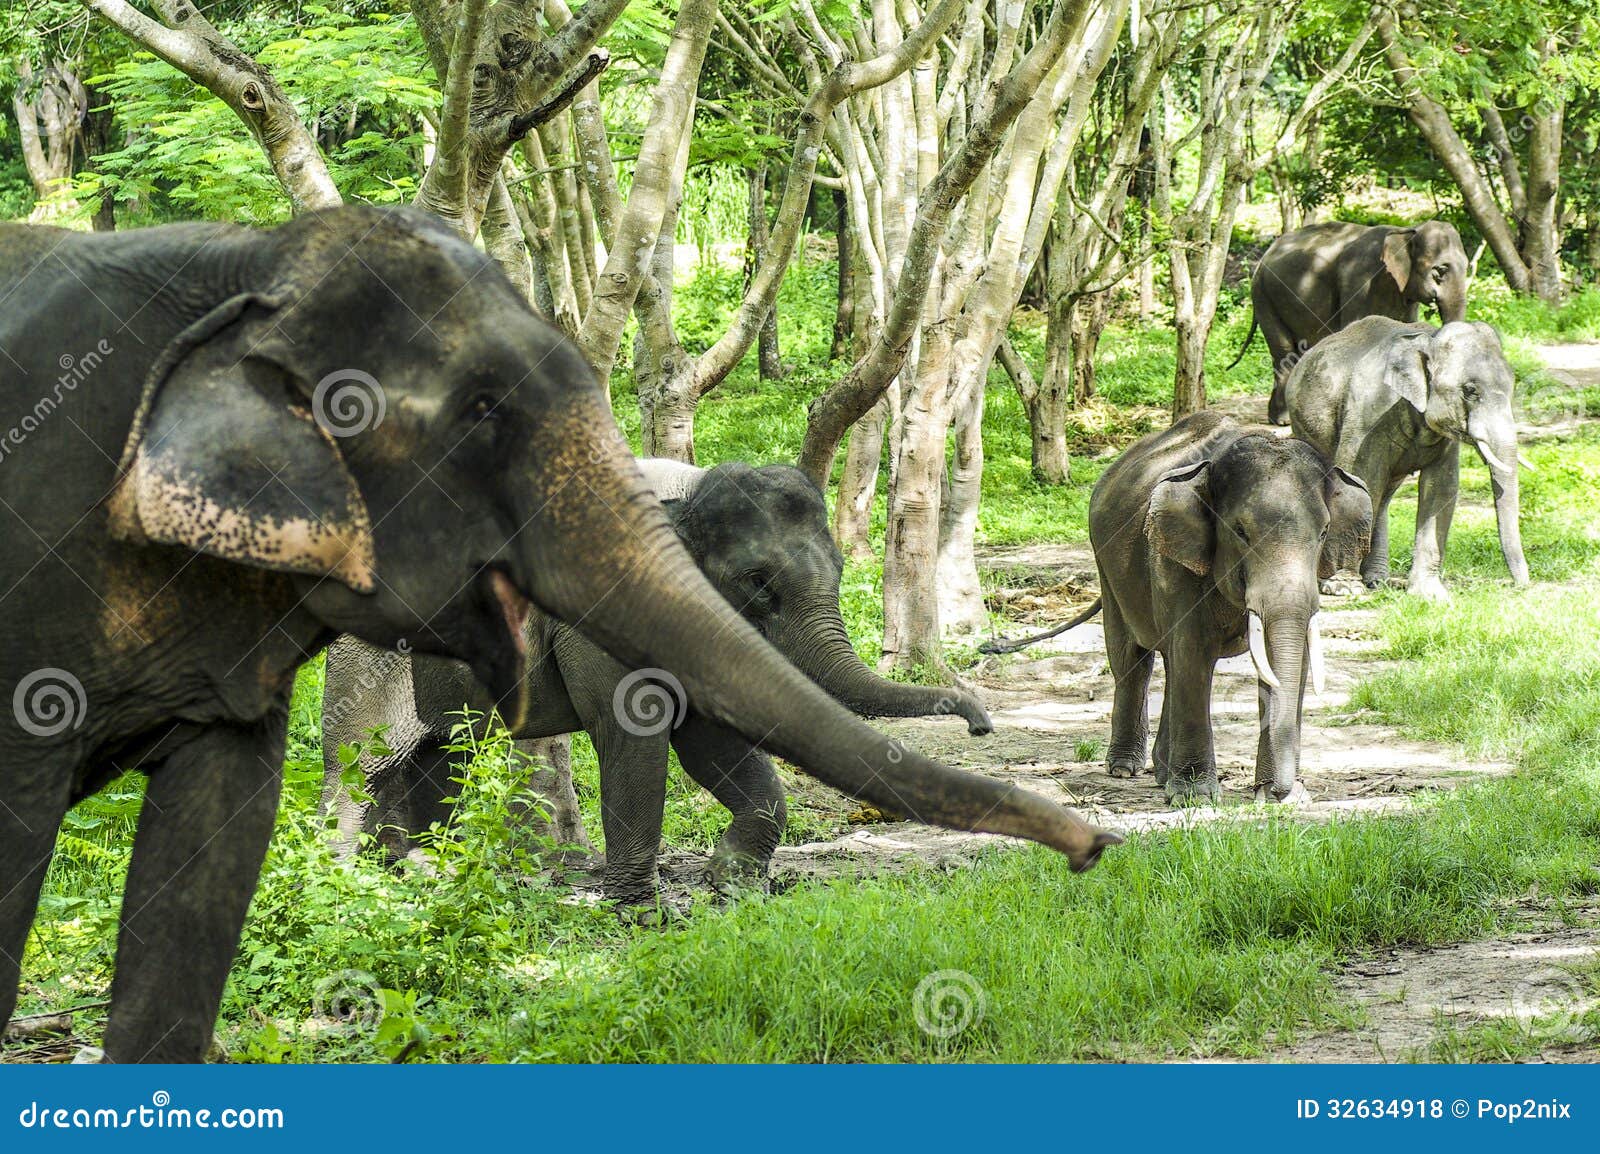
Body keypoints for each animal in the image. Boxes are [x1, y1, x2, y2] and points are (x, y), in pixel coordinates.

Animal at [320, 458, 993, 907]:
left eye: (841, 568)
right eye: (756, 582)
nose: (980, 723)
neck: (686, 494)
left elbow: (707, 739)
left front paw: (732, 884)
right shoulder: (605, 605)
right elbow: (634, 733)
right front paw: (639, 911)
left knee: (438, 758)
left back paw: (419, 871)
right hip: (367, 660)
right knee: (362, 764)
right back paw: (343, 876)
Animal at [983, 412, 1372, 804]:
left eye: (1323, 532)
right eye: (1240, 532)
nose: (1281, 791)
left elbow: (1288, 658)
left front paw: (1280, 797)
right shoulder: (1174, 560)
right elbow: (1193, 651)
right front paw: (1194, 797)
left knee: (1170, 661)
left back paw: (1161, 772)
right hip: (1106, 568)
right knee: (1133, 659)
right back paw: (1125, 768)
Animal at [1231, 220, 1471, 424]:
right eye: (1440, 271)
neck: (1405, 230)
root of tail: (1265, 255)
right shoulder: (1359, 281)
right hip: (1262, 295)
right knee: (1283, 350)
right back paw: (1282, 420)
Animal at [1286, 316, 1532, 599]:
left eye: (1513, 385)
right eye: (1470, 390)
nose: (1520, 586)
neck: (1429, 340)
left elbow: (1441, 488)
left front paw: (1430, 595)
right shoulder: (1367, 417)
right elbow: (1356, 479)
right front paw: (1343, 588)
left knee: (1382, 498)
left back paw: (1377, 581)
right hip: (1305, 425)